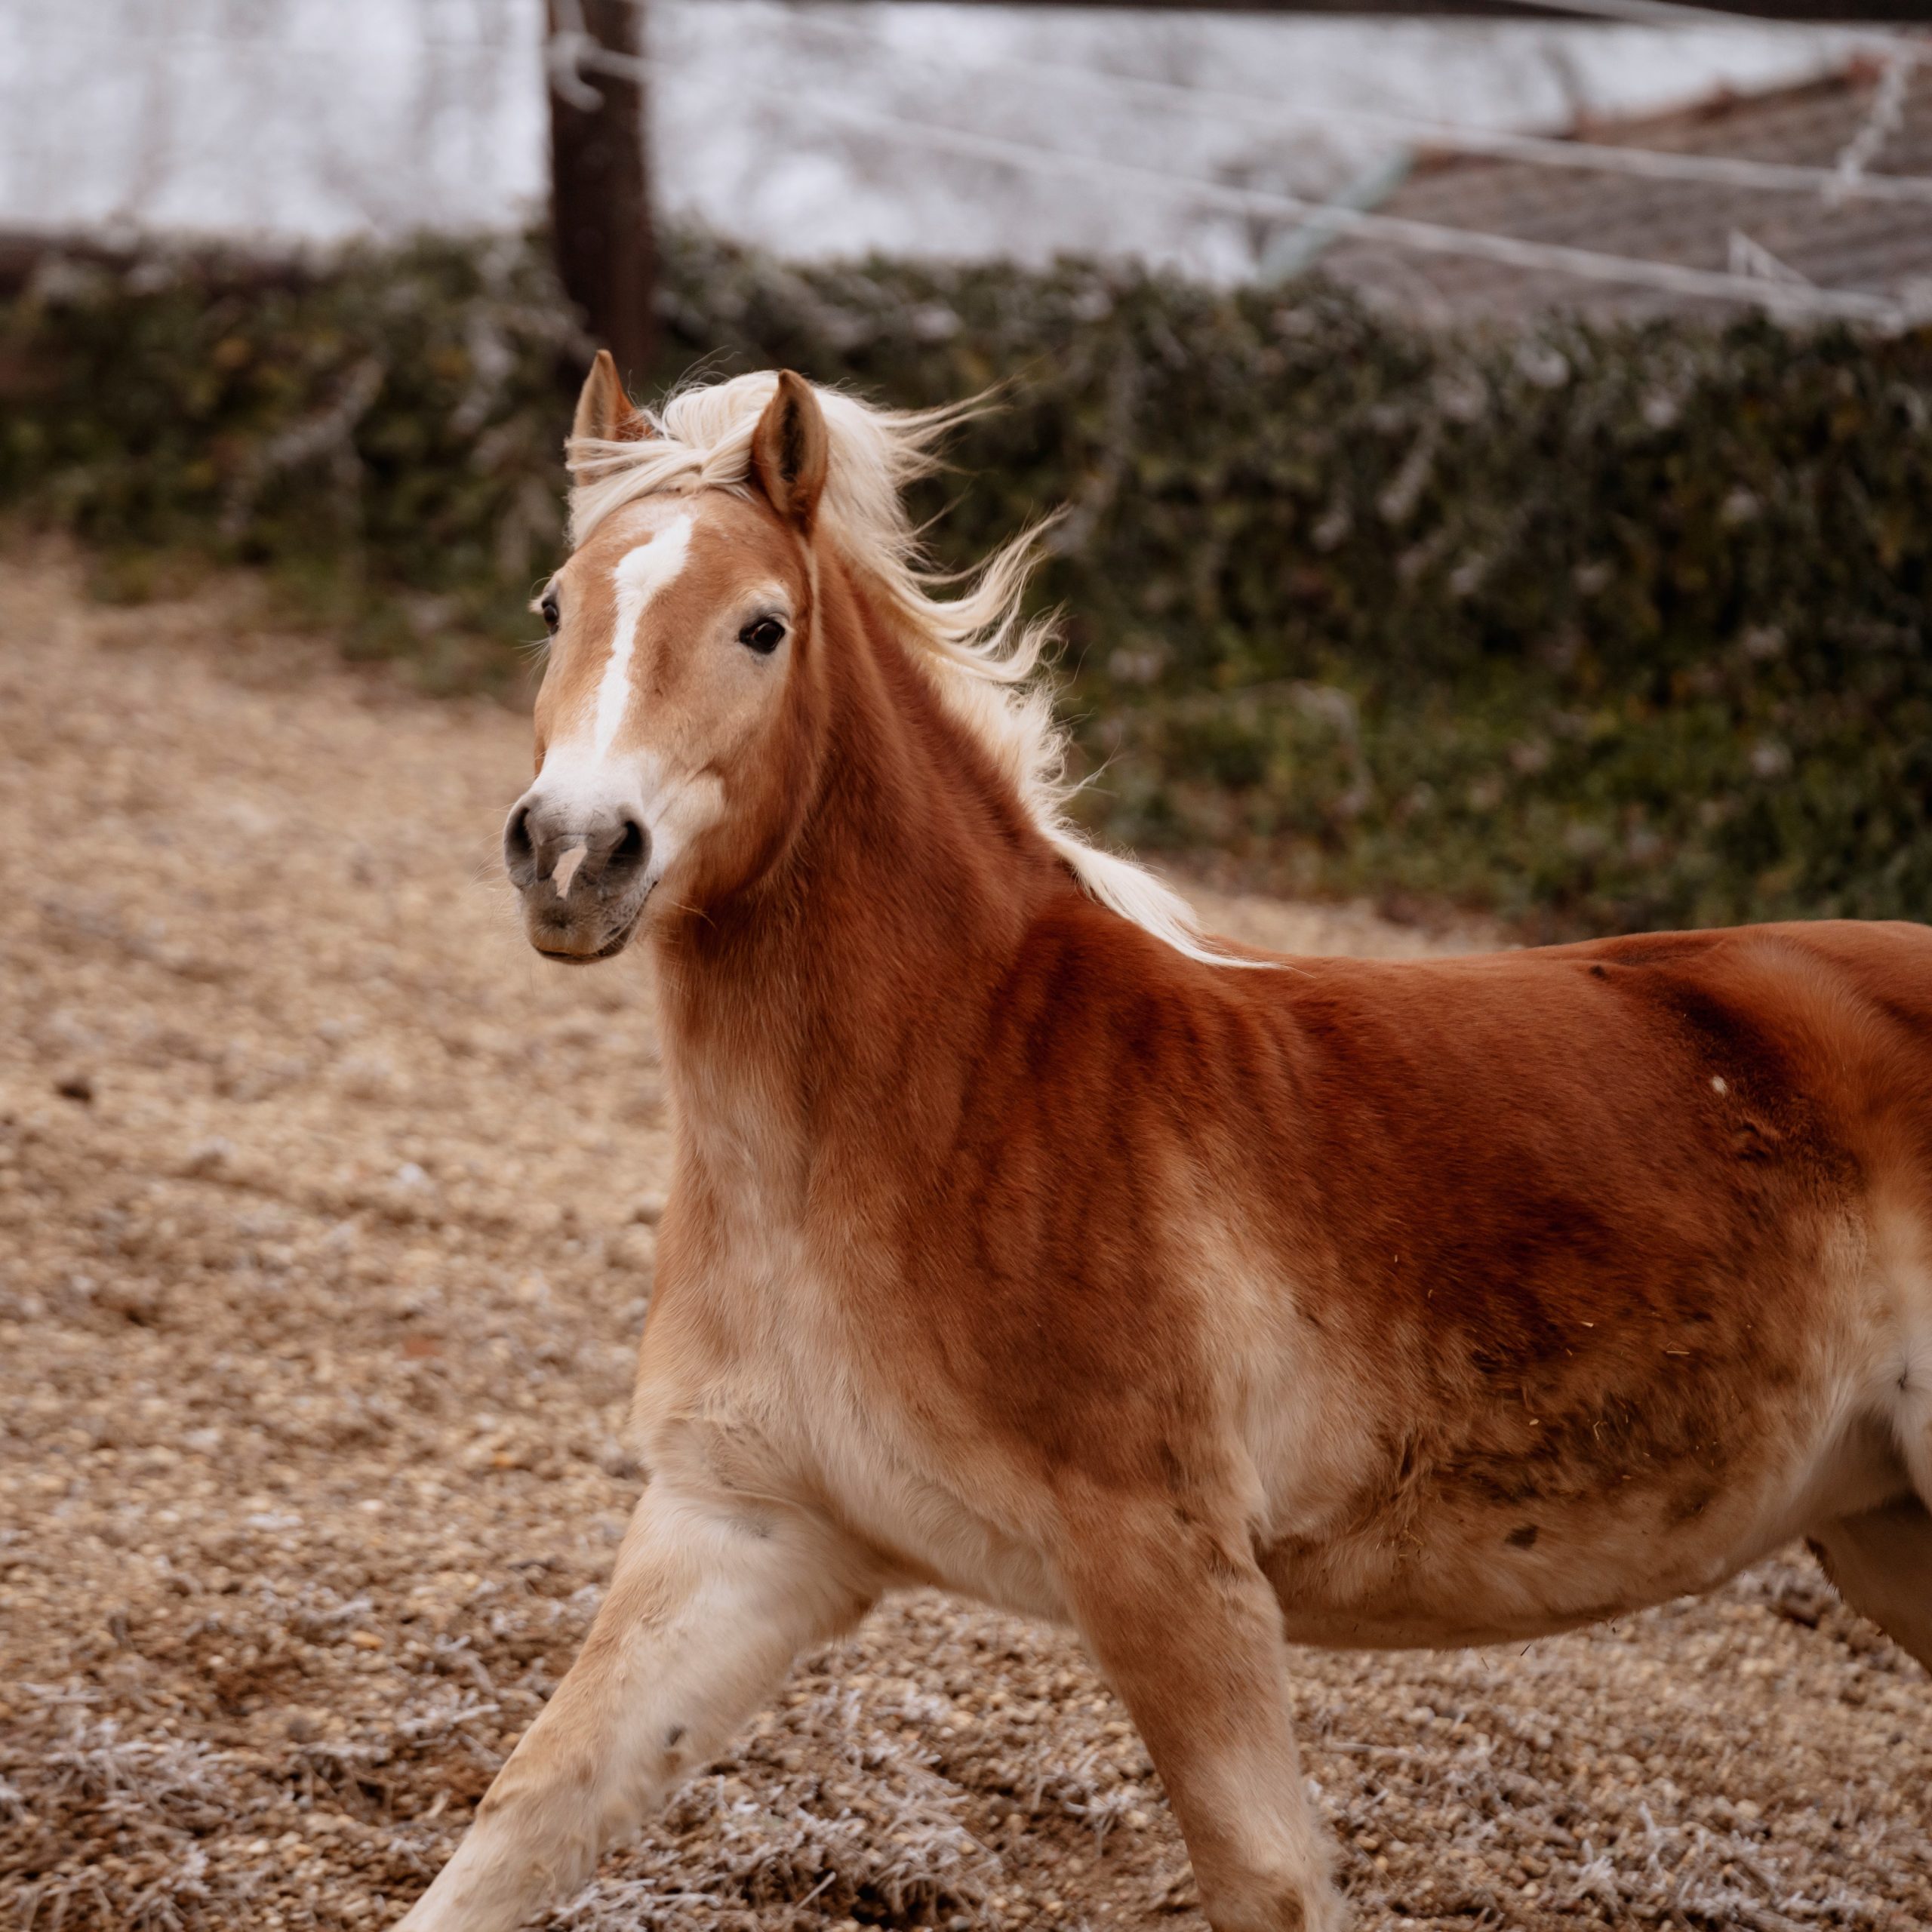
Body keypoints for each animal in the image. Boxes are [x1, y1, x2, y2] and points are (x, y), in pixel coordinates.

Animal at [396, 356, 1932, 1932]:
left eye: (762, 627)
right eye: (554, 607)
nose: (575, 853)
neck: (947, 1099)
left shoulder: (1173, 1573)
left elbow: (1268, 1881)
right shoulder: (745, 1531)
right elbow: (526, 1820)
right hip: (1889, 1534)